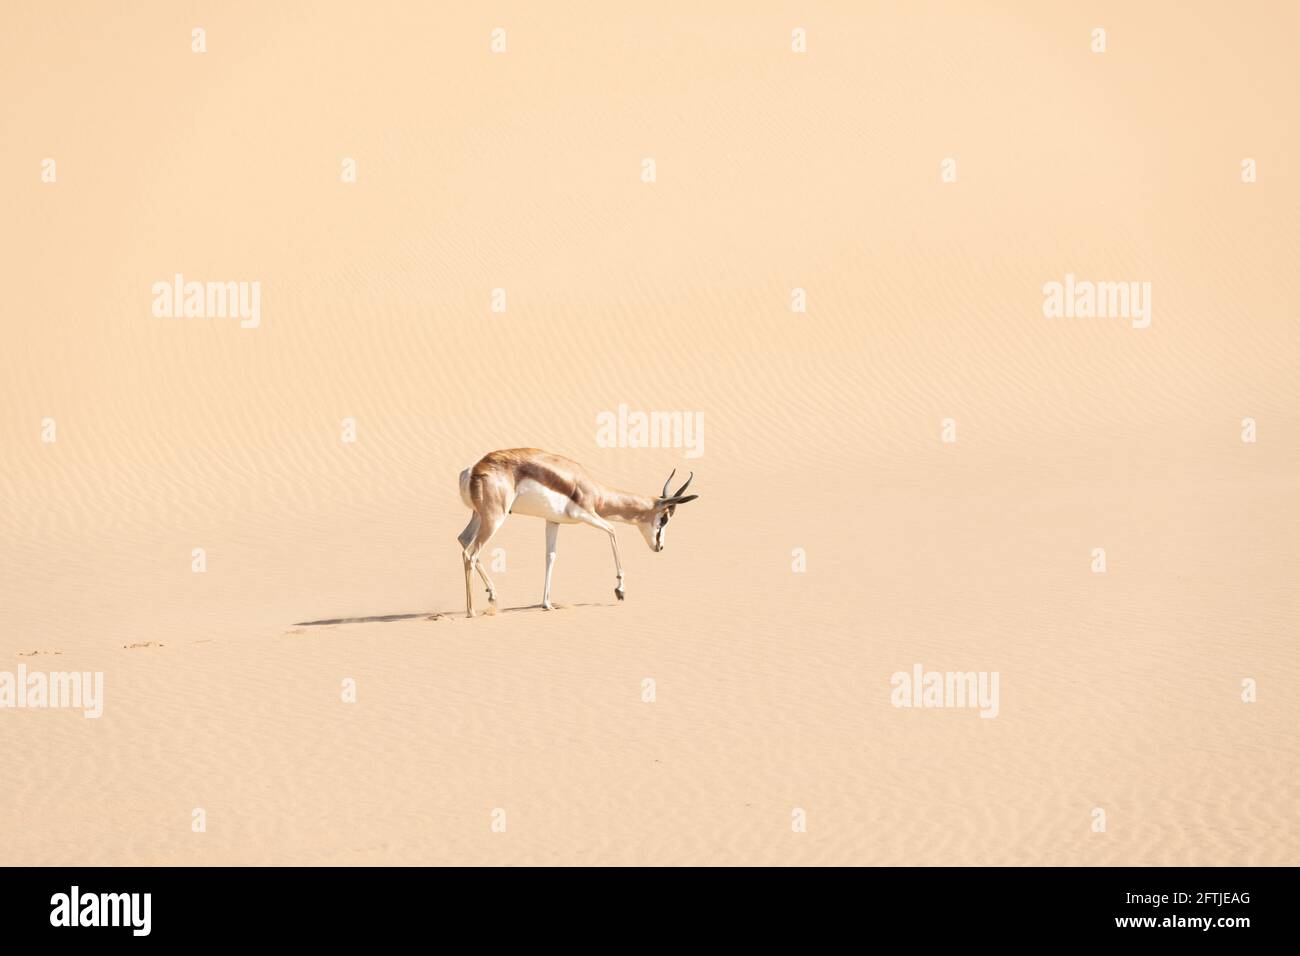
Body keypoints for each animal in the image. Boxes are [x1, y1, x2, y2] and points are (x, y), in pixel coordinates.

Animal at [456, 448, 699, 617]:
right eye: (664, 518)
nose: (660, 546)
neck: (593, 489)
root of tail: (473, 469)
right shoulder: (586, 515)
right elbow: (613, 531)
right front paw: (620, 590)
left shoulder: (553, 521)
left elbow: (550, 557)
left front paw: (547, 604)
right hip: (495, 518)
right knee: (471, 553)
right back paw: (471, 611)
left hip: (479, 516)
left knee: (463, 540)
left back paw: (492, 594)